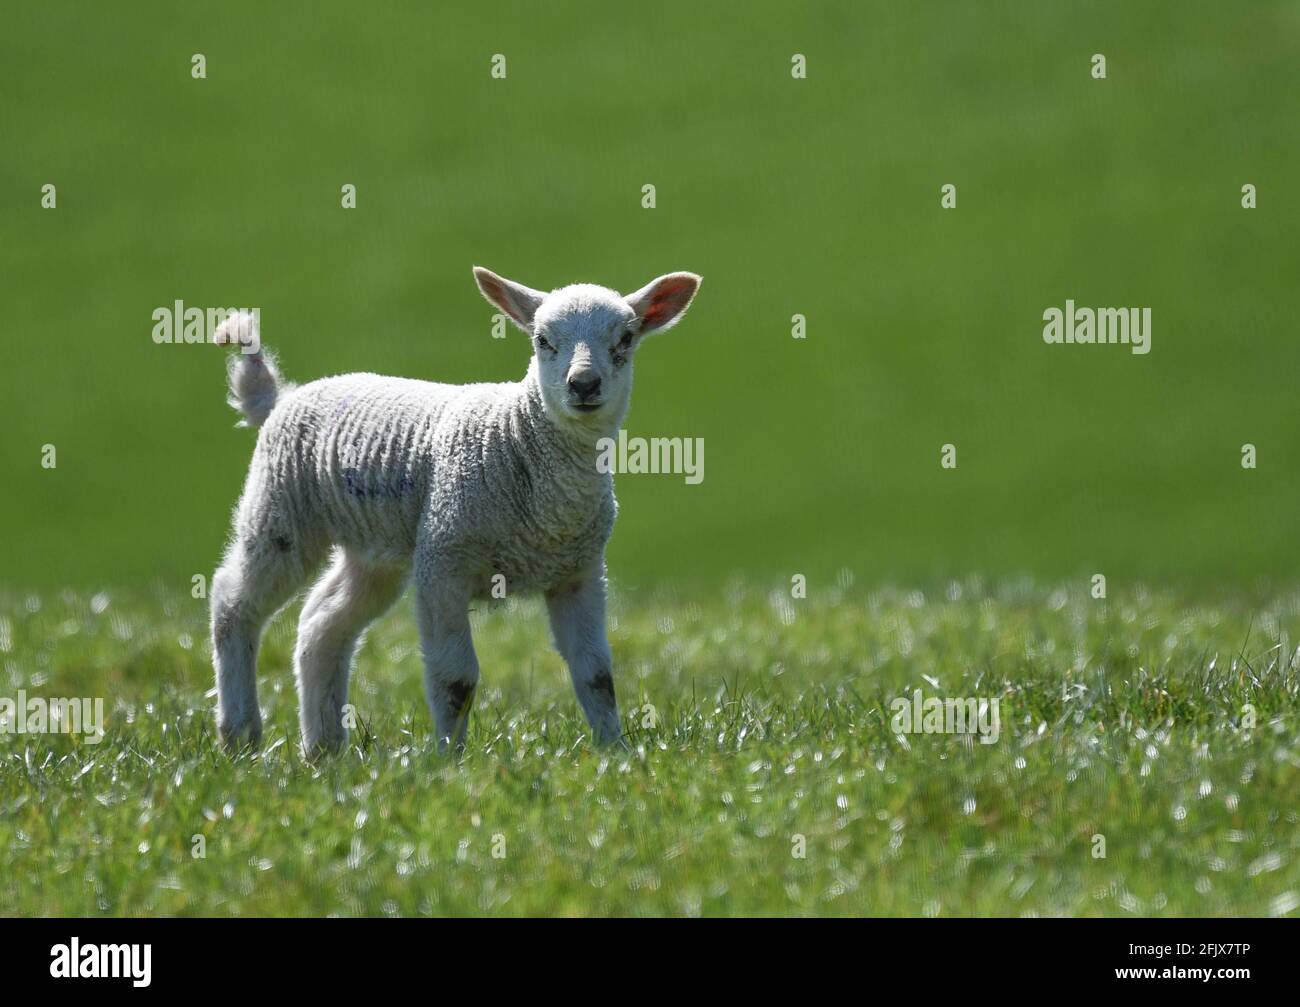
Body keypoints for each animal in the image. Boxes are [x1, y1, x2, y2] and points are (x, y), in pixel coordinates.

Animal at [209, 267, 701, 755]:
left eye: (626, 338)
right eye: (542, 339)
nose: (583, 384)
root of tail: (282, 398)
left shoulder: (579, 572)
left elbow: (597, 675)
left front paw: (614, 752)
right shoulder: (444, 561)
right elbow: (456, 679)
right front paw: (449, 760)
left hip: (376, 550)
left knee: (321, 624)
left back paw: (325, 749)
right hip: (279, 510)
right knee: (233, 601)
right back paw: (241, 734)